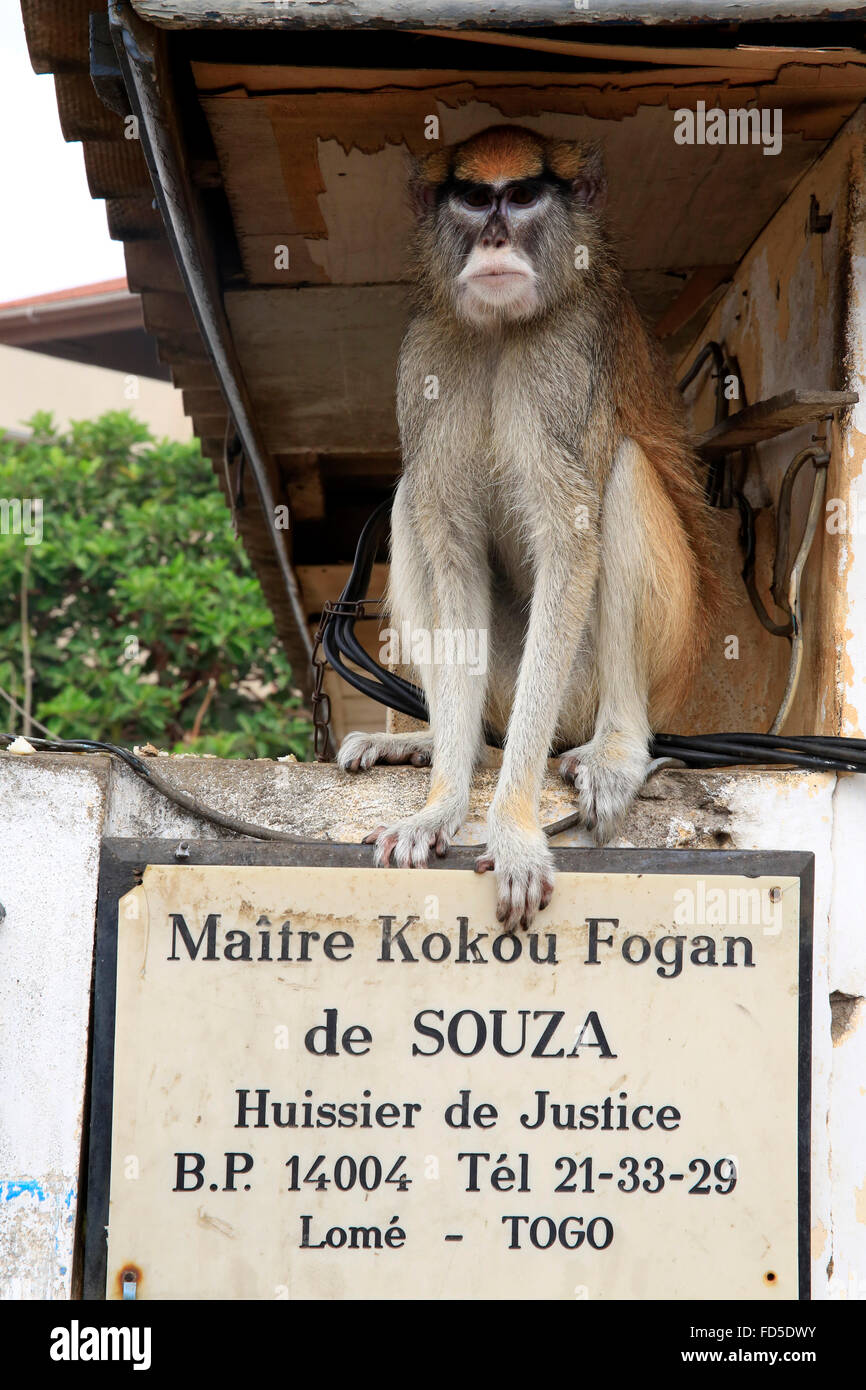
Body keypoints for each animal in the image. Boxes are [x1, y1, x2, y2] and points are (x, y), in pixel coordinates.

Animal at [338, 125, 720, 932]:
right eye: (472, 198)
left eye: (521, 196)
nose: (492, 238)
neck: (502, 332)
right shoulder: (425, 355)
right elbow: (447, 543)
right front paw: (440, 807)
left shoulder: (569, 360)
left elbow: (571, 542)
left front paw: (511, 830)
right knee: (409, 500)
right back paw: (445, 746)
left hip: (625, 674)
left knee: (625, 475)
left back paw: (616, 749)